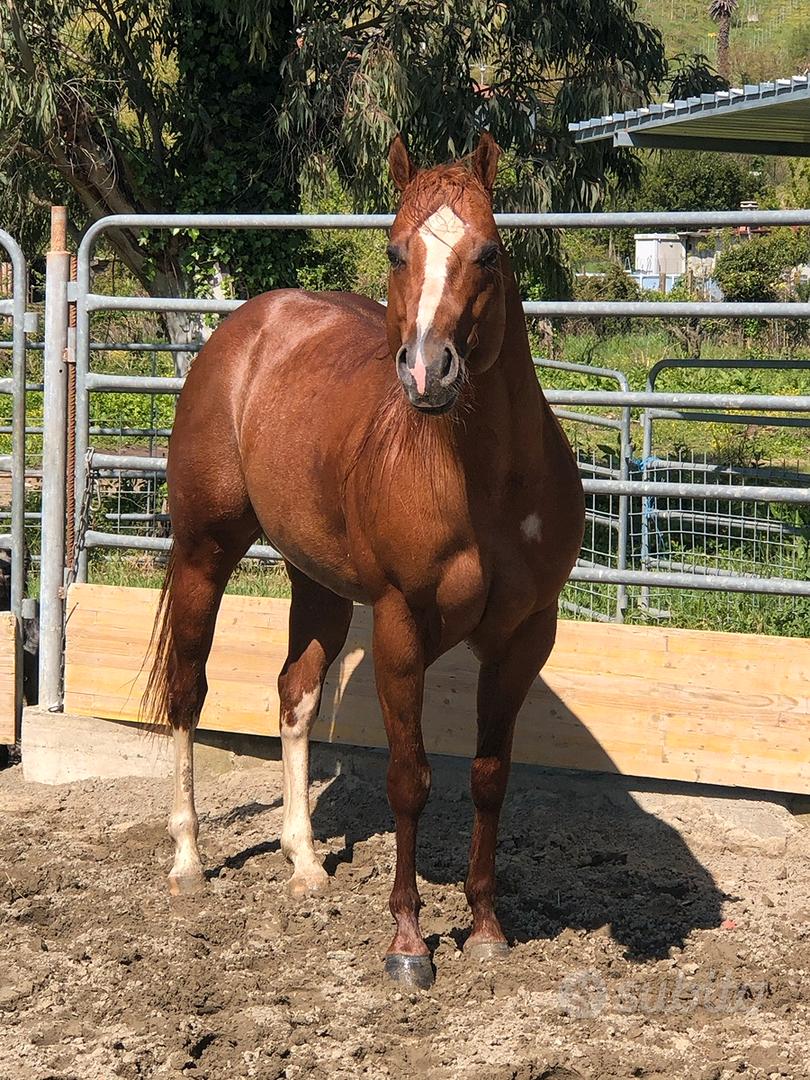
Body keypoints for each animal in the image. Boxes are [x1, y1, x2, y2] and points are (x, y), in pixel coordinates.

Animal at [143, 133, 585, 989]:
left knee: (295, 695)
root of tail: (249, 326)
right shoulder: (400, 628)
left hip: (314, 580)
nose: (427, 371)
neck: (480, 481)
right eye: (394, 249)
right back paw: (186, 861)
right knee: (187, 690)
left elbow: (489, 778)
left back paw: (306, 862)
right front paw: (408, 943)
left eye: (489, 252)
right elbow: (408, 780)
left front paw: (486, 928)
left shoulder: (524, 637)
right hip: (203, 552)